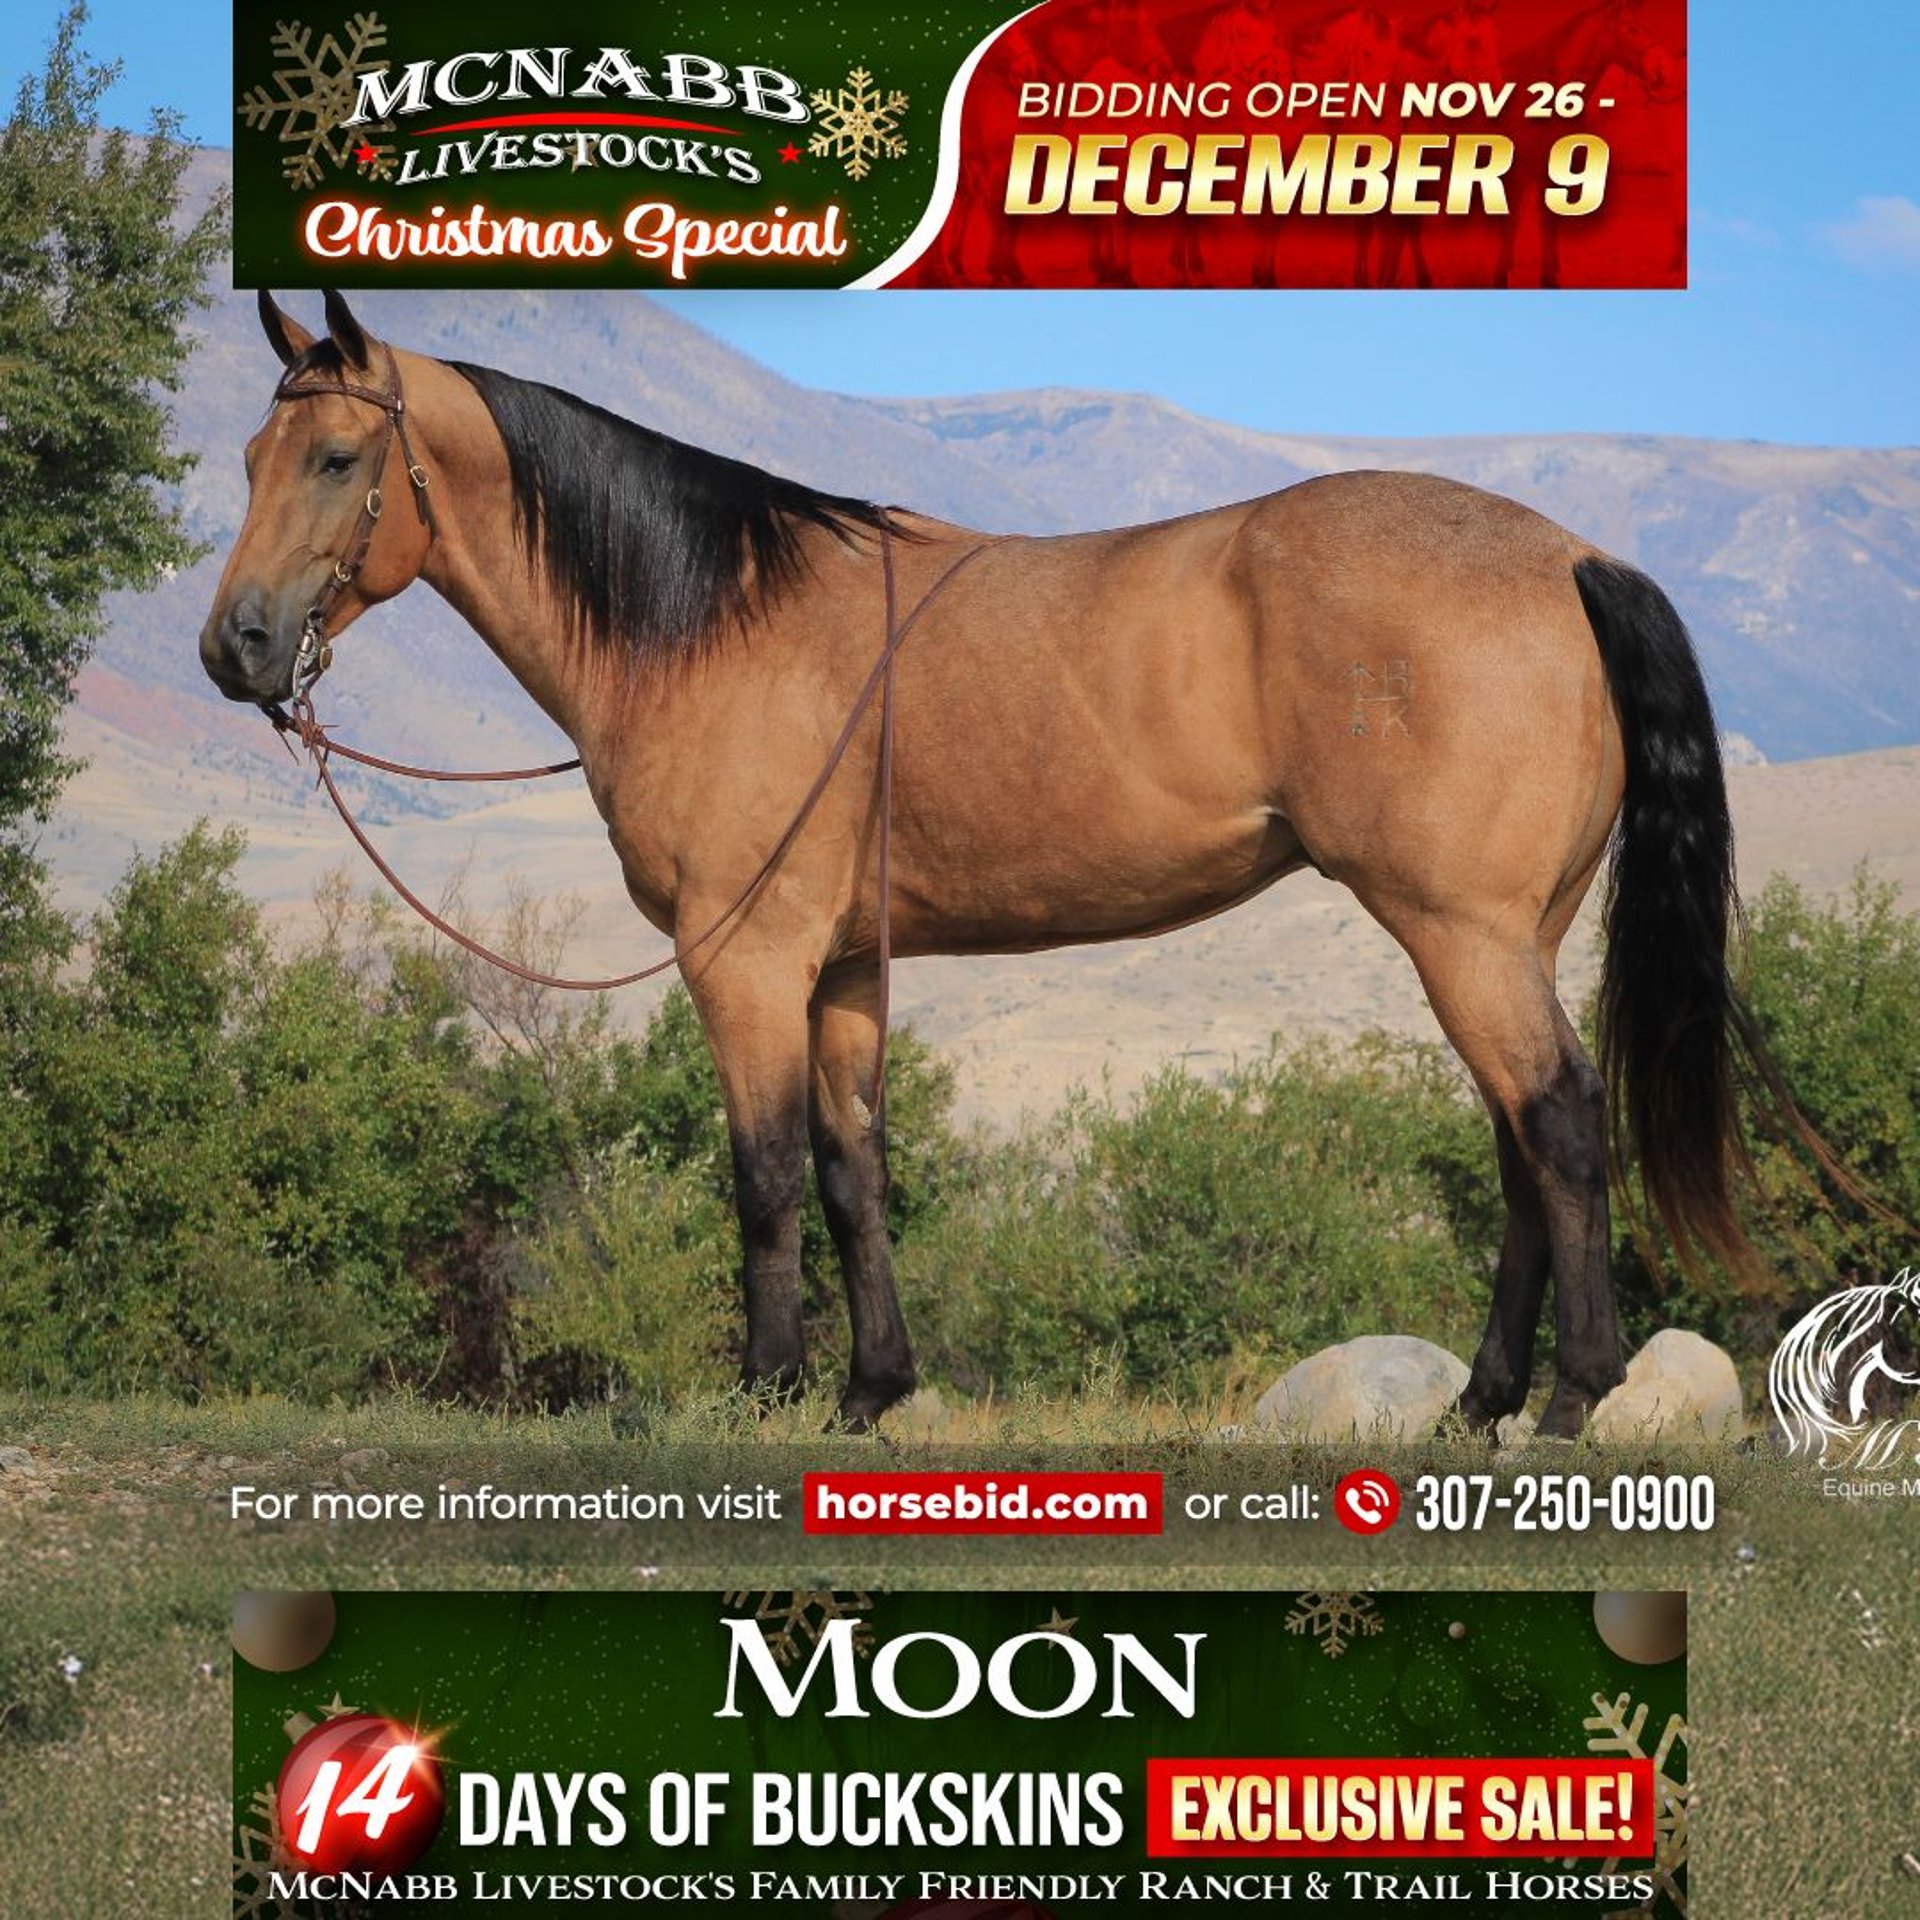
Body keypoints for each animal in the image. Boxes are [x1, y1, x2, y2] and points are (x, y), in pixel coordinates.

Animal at [201, 287, 1792, 1436]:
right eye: (252, 457)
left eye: (337, 458)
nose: (236, 649)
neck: (711, 621)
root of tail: (1568, 557)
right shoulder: (842, 966)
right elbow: (853, 1169)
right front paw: (868, 1392)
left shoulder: (744, 956)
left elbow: (763, 1174)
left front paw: (767, 1390)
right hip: (1505, 934)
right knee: (1522, 1140)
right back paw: (1480, 1401)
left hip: (1459, 931)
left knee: (1562, 1124)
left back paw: (1573, 1397)